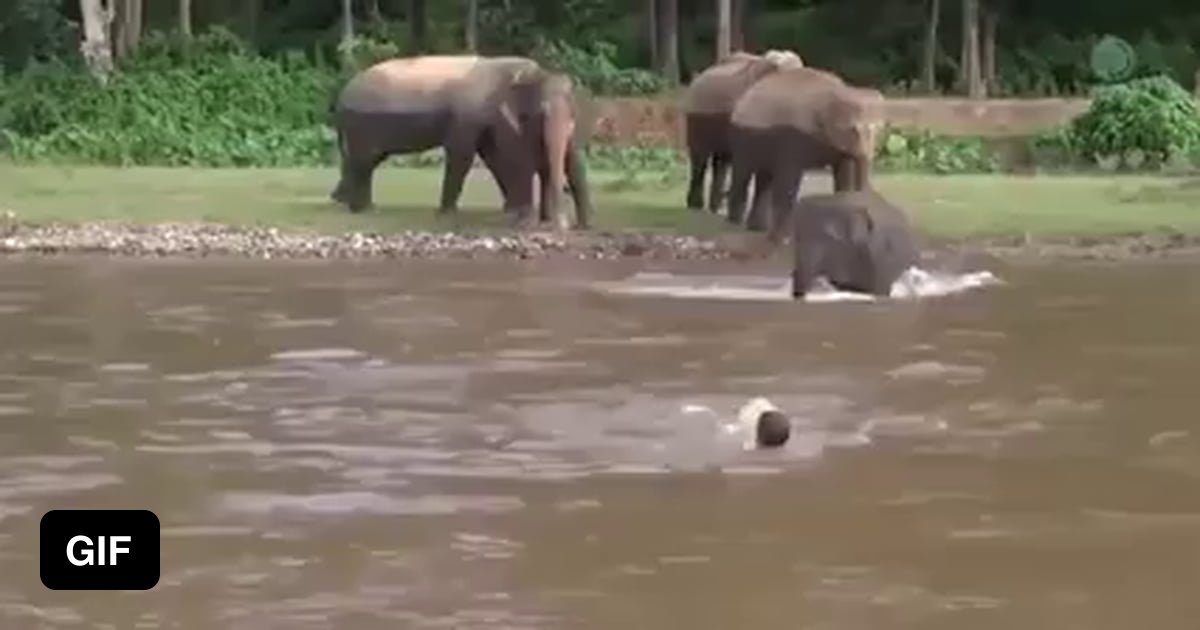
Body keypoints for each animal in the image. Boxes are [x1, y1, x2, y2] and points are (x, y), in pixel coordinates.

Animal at [329, 55, 594, 230]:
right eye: (540, 113)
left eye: (574, 115)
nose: (569, 225)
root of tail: (342, 95)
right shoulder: (468, 114)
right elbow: (464, 153)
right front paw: (445, 214)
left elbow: (492, 156)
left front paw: (511, 211)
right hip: (362, 124)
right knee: (364, 161)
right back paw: (362, 208)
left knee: (364, 161)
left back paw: (347, 202)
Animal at [726, 66, 885, 235]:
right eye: (853, 129)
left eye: (880, 129)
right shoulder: (792, 136)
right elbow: (788, 181)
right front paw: (784, 237)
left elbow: (844, 176)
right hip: (742, 137)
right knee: (743, 174)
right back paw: (734, 221)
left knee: (764, 180)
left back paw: (758, 228)